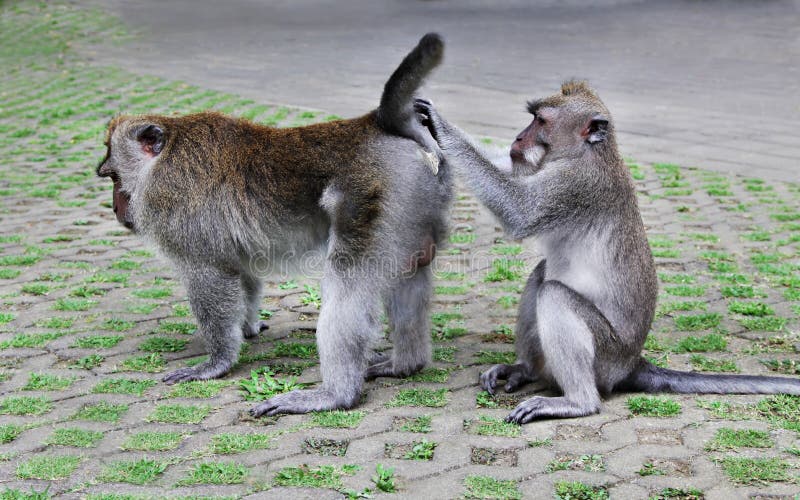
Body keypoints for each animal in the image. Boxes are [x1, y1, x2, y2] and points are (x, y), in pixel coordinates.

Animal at [96, 33, 452, 417]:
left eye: (114, 177)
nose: (114, 206)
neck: (162, 161)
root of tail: (373, 123)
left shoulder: (181, 217)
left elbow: (212, 277)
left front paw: (217, 362)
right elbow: (242, 274)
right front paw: (248, 326)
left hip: (374, 198)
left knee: (347, 281)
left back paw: (336, 394)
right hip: (416, 205)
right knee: (409, 273)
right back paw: (405, 364)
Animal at [414, 82, 800, 424]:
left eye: (541, 121)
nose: (518, 139)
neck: (590, 152)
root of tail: (631, 364)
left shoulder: (575, 184)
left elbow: (519, 210)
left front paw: (439, 124)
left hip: (606, 356)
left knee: (554, 294)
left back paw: (577, 402)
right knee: (541, 275)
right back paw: (525, 369)